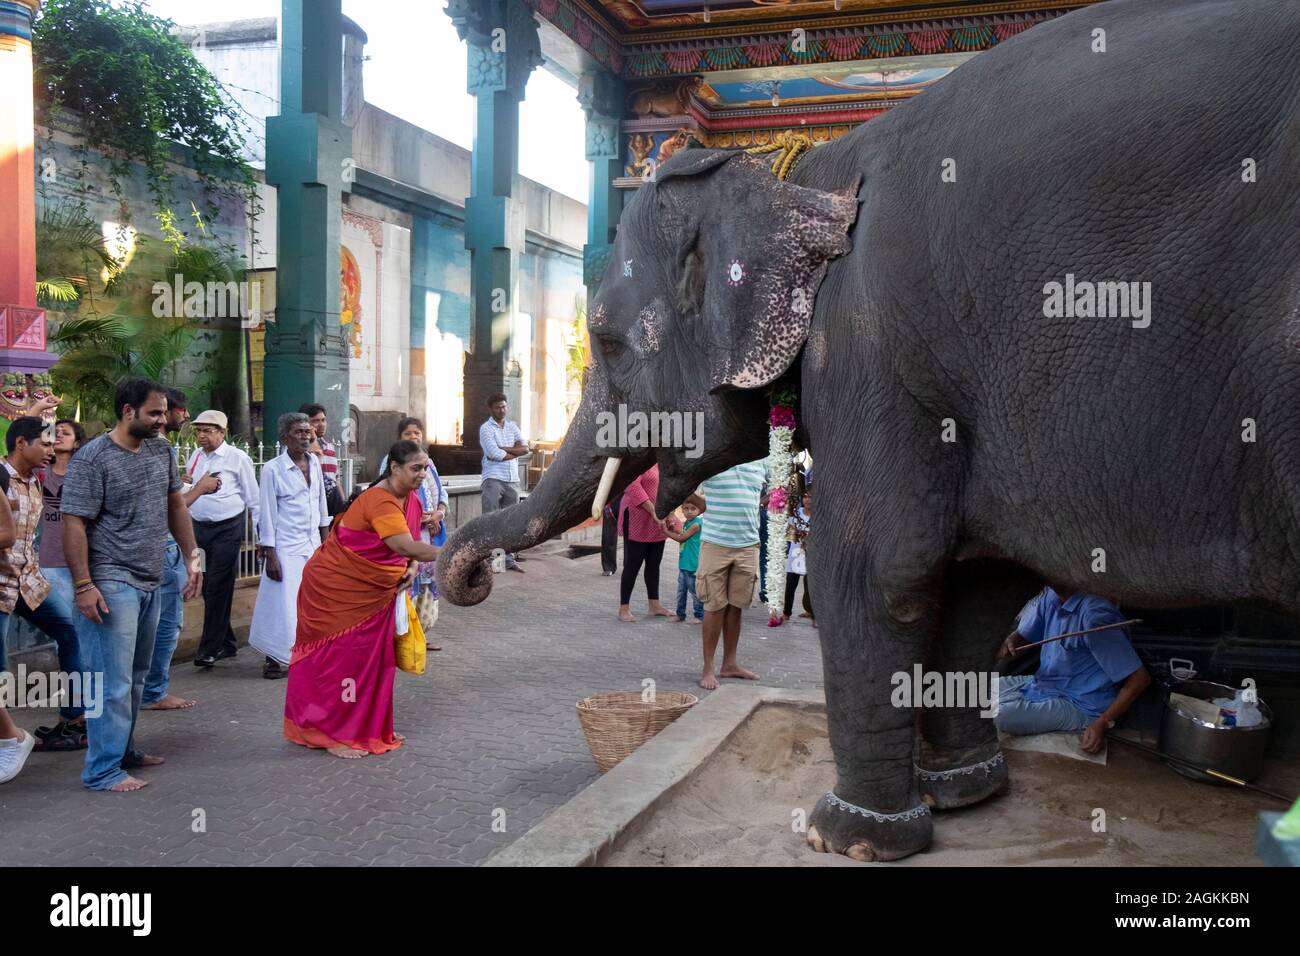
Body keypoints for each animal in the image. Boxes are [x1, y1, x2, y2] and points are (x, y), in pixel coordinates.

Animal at [439, 0, 1300, 862]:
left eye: (607, 339)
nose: (472, 581)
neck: (796, 174)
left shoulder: (867, 346)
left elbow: (875, 570)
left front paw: (847, 833)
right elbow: (983, 579)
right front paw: (965, 793)